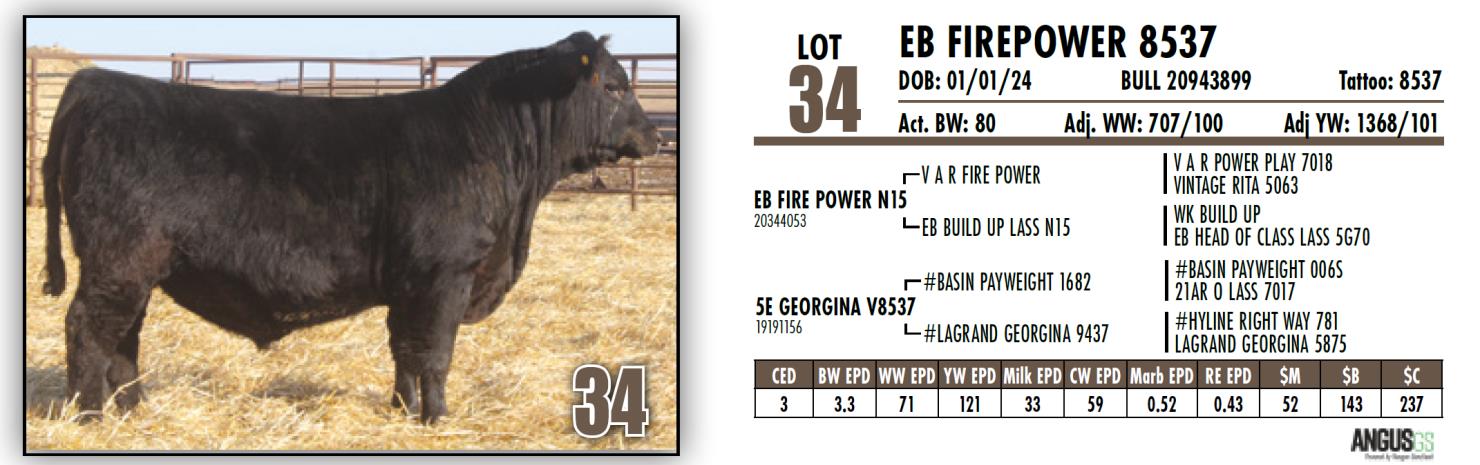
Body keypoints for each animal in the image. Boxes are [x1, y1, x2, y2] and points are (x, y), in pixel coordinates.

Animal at [39, 31, 660, 424]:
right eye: (613, 86)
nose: (657, 135)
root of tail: (96, 80)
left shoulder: (411, 283)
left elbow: (404, 351)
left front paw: (403, 410)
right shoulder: (446, 274)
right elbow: (435, 352)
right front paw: (438, 419)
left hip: (137, 267)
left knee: (123, 336)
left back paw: (133, 409)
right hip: (119, 261)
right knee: (88, 328)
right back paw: (88, 416)